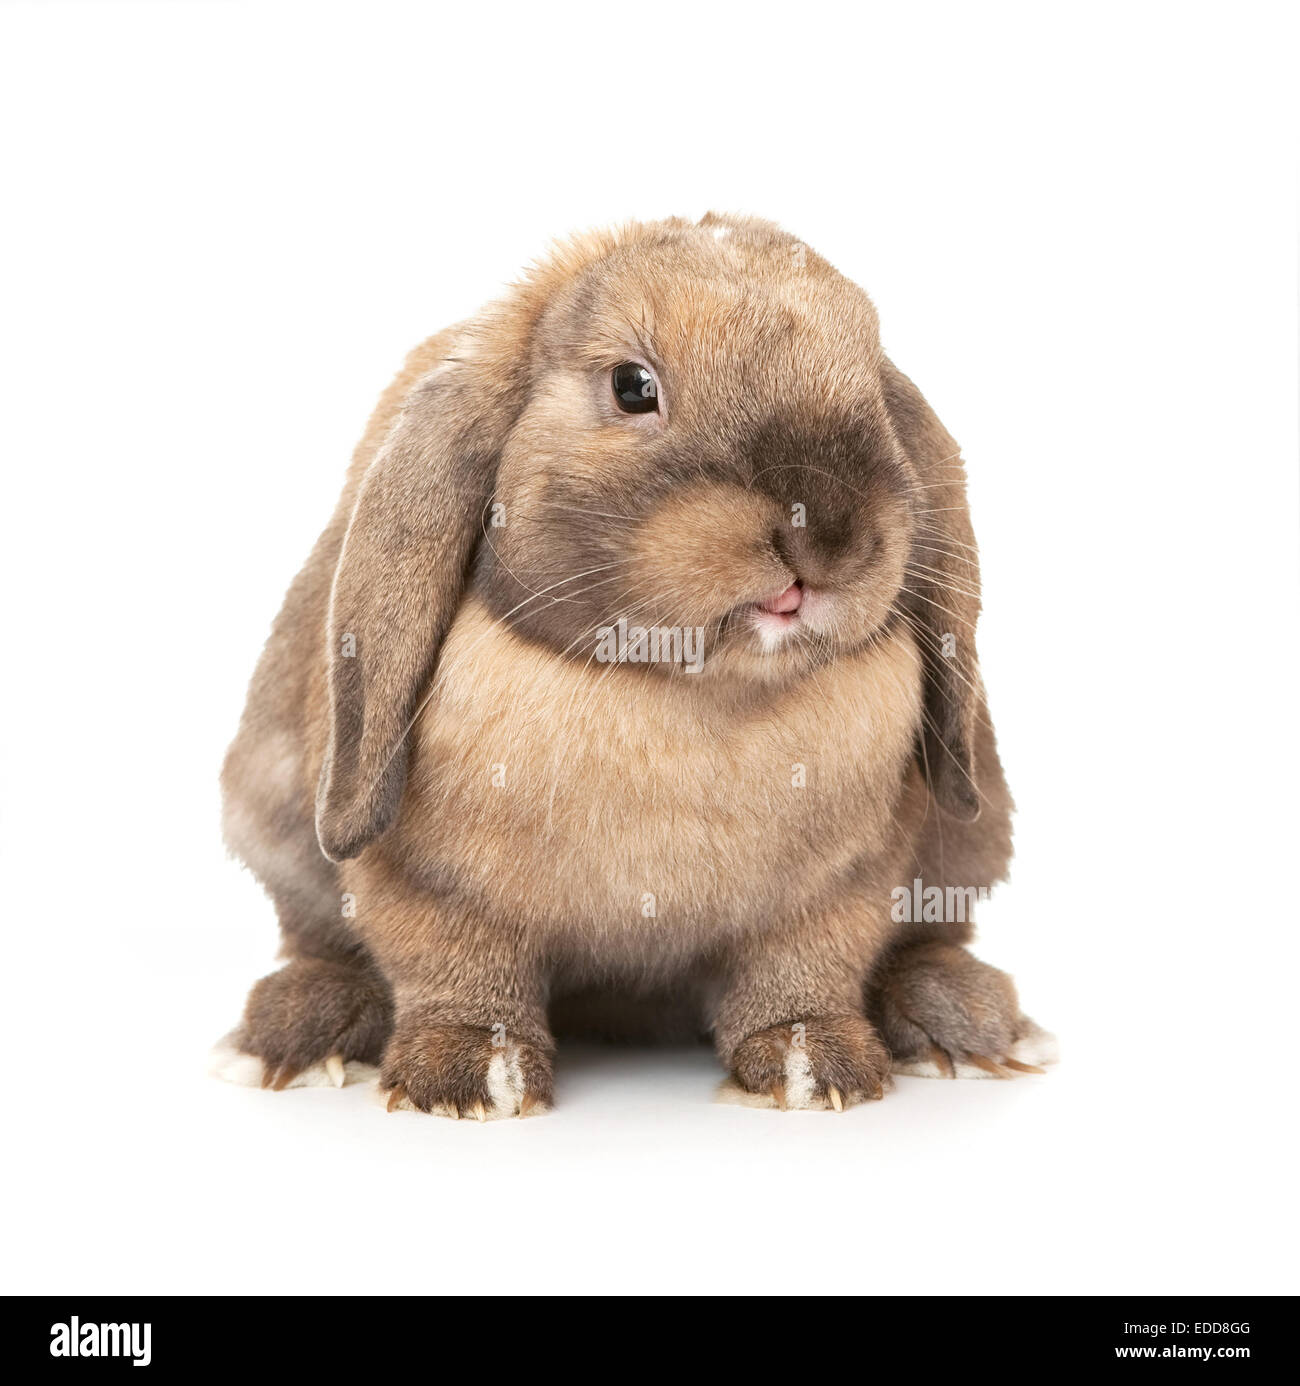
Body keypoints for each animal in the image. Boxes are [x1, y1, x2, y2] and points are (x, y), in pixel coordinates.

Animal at [213, 212, 1056, 1118]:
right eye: (633, 387)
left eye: (870, 381)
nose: (829, 534)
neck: (690, 693)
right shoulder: (430, 886)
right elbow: (454, 963)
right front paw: (470, 1076)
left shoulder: (839, 889)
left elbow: (803, 967)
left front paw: (814, 1063)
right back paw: (302, 1032)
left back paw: (960, 1020)